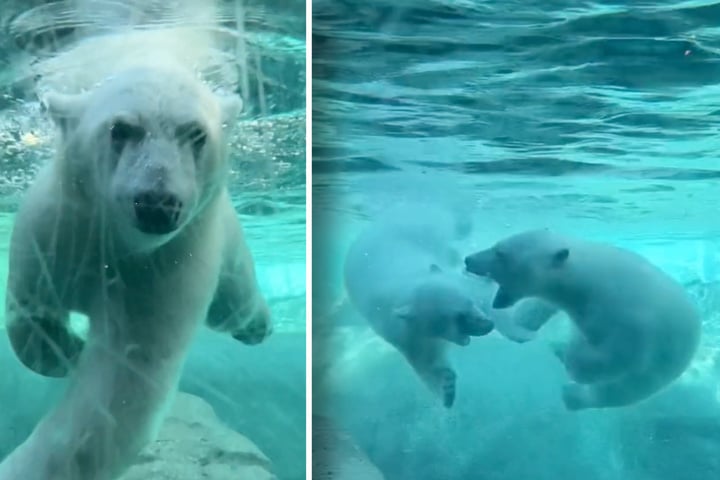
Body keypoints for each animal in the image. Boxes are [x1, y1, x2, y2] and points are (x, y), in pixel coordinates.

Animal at [0, 62, 271, 480]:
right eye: (121, 129)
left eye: (196, 133)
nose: (157, 203)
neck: (116, 241)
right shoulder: (56, 230)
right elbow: (31, 311)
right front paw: (70, 350)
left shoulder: (165, 264)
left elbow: (124, 376)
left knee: (234, 302)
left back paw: (257, 327)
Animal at [343, 207, 494, 408]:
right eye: (457, 317)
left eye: (470, 302)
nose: (488, 324)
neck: (406, 285)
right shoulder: (404, 332)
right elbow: (425, 361)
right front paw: (446, 386)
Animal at [464, 228, 701, 411]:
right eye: (497, 244)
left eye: (500, 252)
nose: (468, 260)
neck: (593, 281)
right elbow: (544, 305)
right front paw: (525, 319)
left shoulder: (633, 322)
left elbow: (616, 357)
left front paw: (572, 360)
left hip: (660, 369)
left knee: (617, 391)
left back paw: (571, 392)